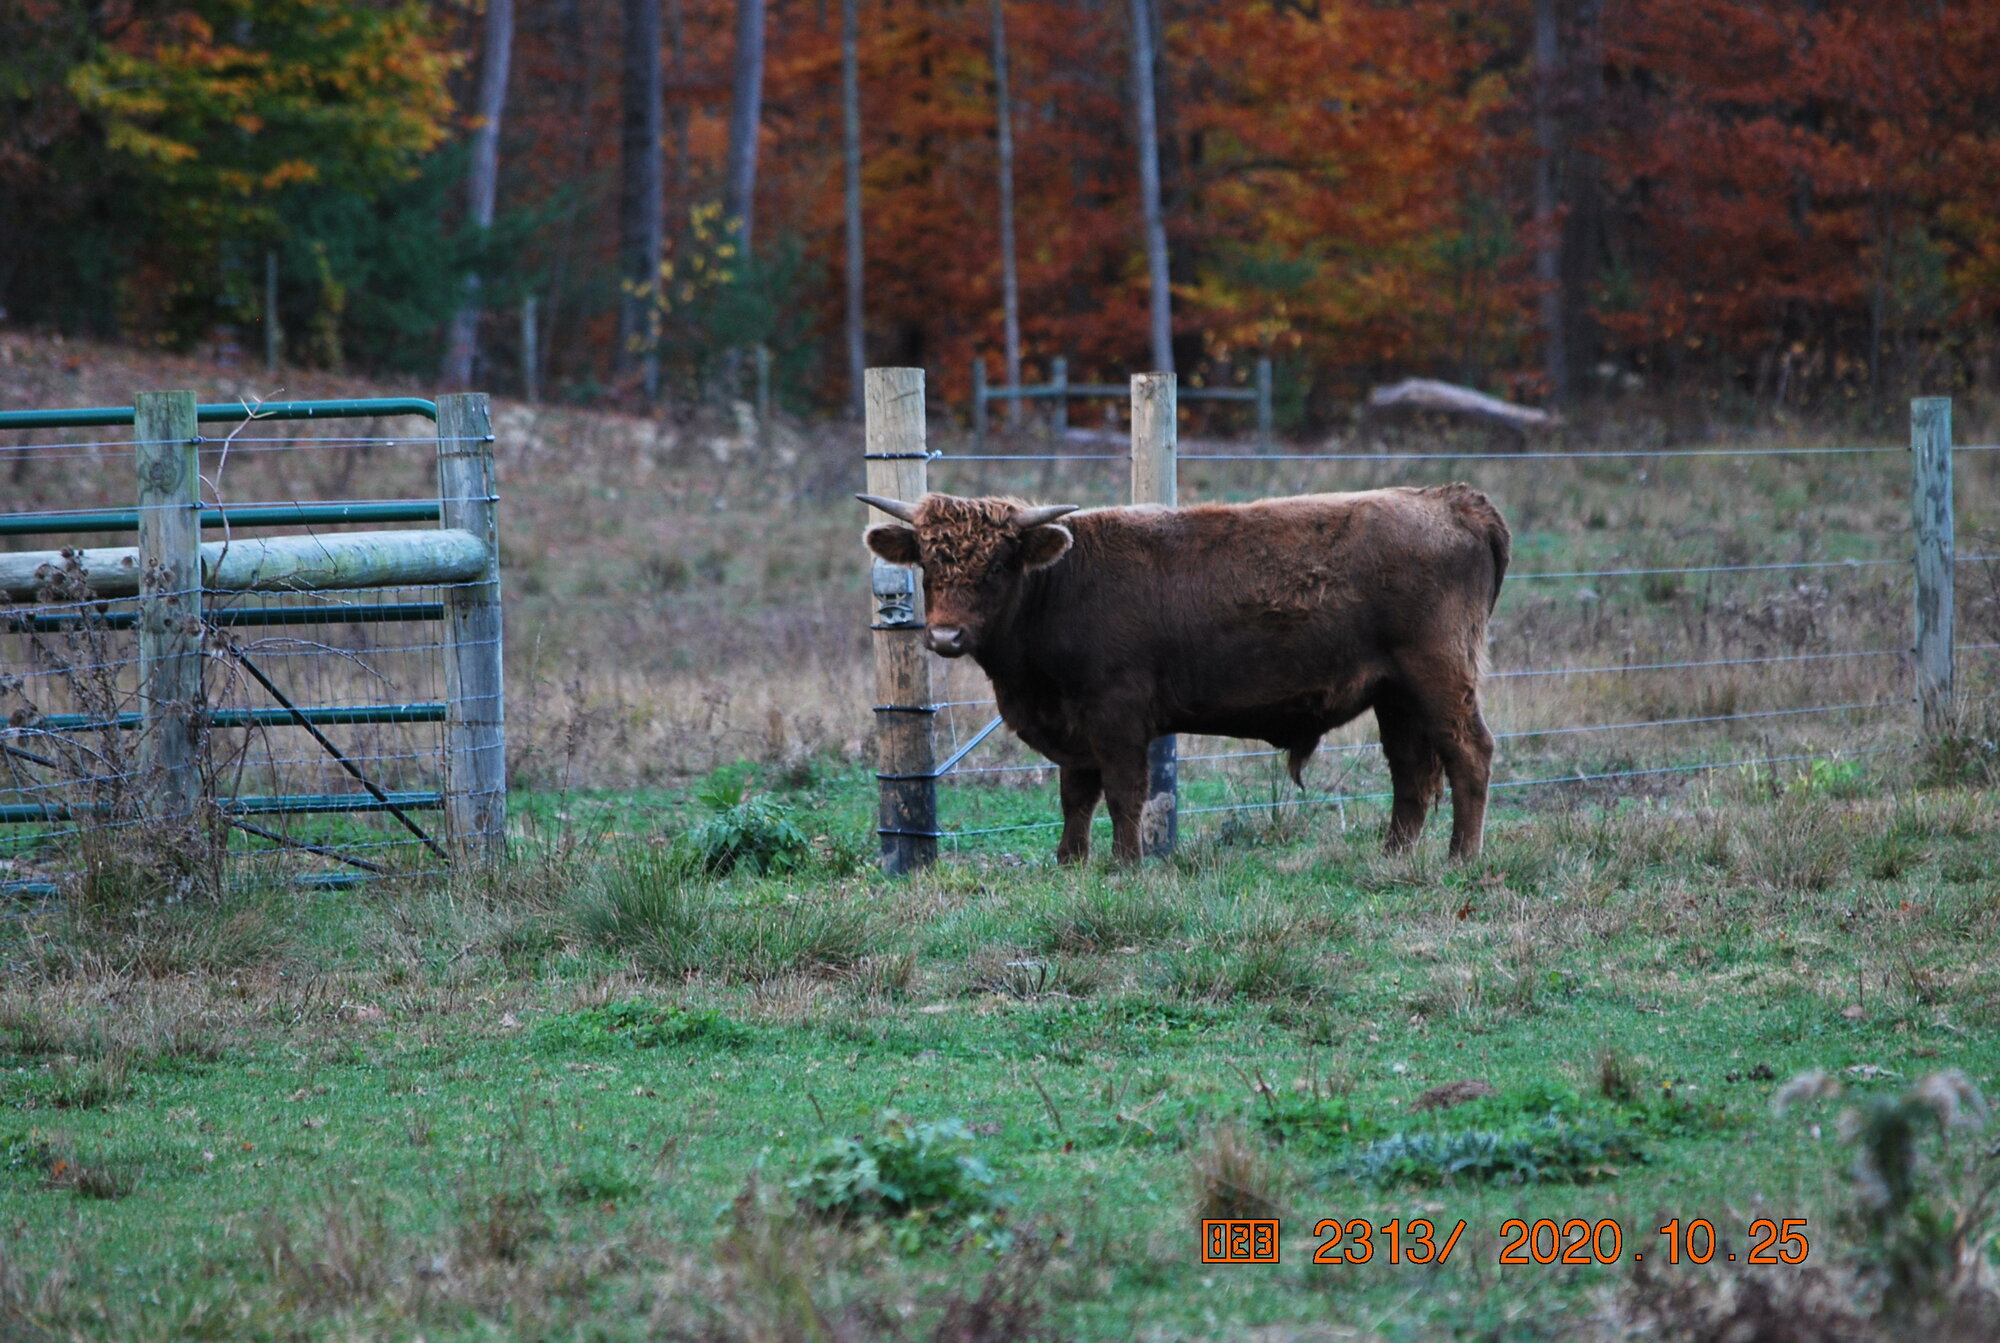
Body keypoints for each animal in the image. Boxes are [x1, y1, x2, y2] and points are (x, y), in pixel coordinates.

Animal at [859, 486, 1511, 863]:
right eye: (927, 561)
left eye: (997, 564)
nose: (946, 636)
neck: (1062, 582)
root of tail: (1451, 499)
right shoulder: (1073, 725)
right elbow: (1075, 795)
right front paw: (1070, 860)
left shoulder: (1116, 714)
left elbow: (1123, 792)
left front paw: (1125, 865)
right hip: (1396, 694)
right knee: (1410, 771)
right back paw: (1394, 854)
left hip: (1439, 676)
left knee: (1469, 754)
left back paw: (1462, 858)